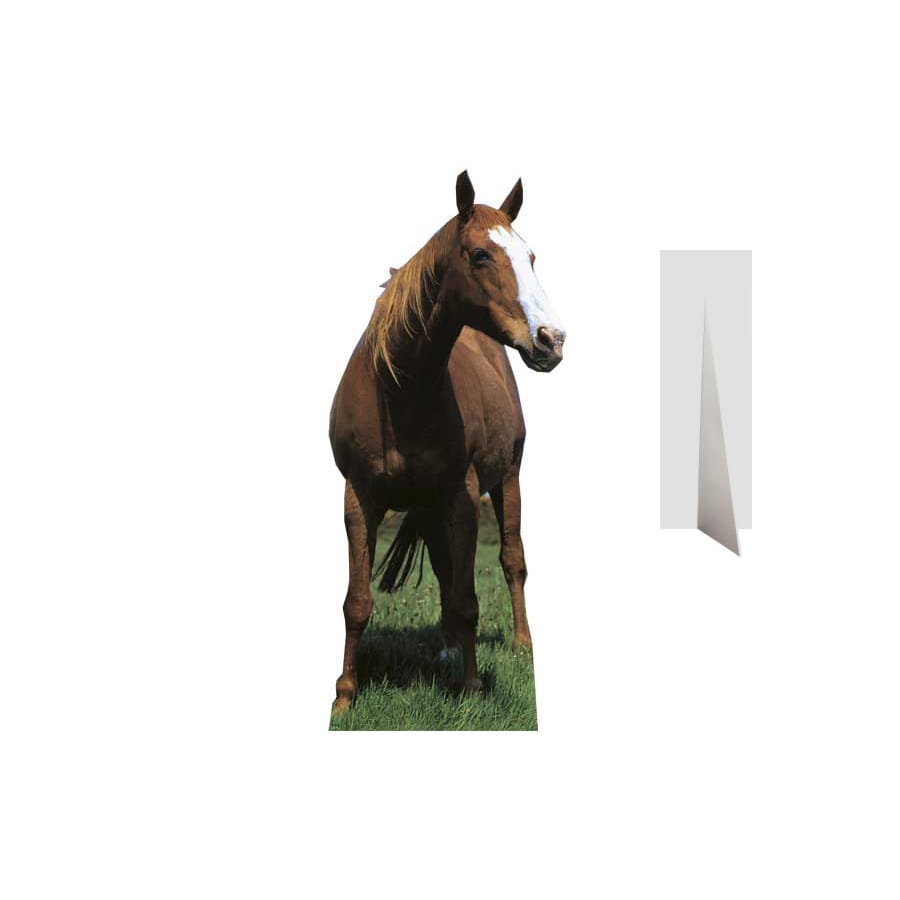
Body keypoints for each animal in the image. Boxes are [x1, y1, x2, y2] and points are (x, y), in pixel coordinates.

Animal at [328, 171, 566, 713]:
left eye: (531, 257)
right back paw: (448, 649)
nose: (551, 339)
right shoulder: (358, 497)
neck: (399, 390)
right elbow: (357, 601)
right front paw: (345, 695)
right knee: (442, 567)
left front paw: (472, 686)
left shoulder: (464, 494)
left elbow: (468, 597)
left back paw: (519, 645)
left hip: (507, 479)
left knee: (512, 562)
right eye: (480, 255)